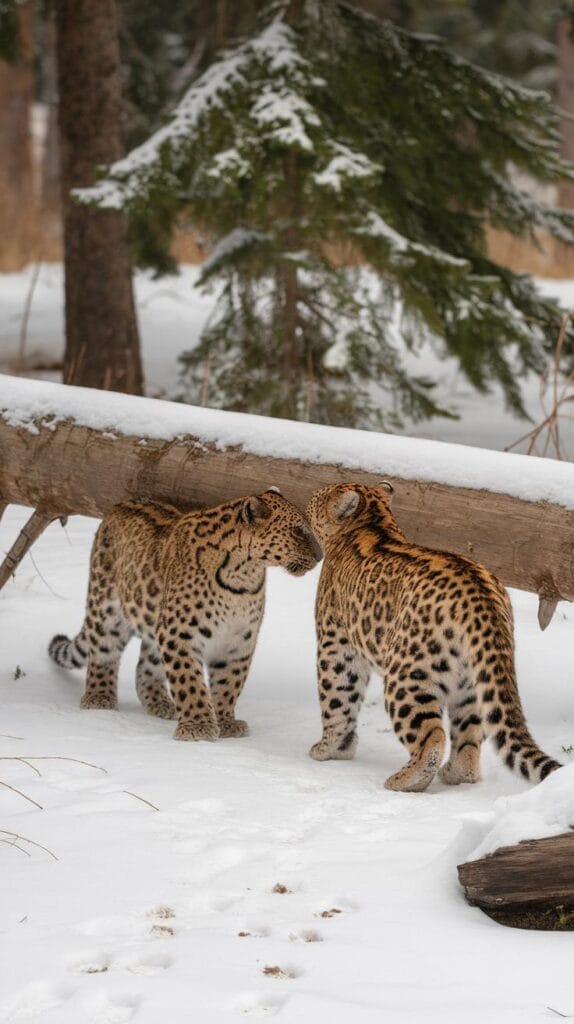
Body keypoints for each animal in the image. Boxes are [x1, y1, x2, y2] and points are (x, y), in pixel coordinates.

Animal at [49, 488, 321, 741]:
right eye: (298, 531)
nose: (320, 556)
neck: (244, 574)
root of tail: (117, 506)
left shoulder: (239, 640)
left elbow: (228, 684)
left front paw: (225, 722)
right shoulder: (180, 633)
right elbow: (189, 682)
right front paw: (198, 727)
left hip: (155, 623)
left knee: (146, 666)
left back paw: (159, 703)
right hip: (106, 607)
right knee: (103, 651)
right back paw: (99, 698)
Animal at [306, 481, 561, 792]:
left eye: (317, 497)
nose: (307, 499)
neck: (373, 522)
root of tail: (478, 594)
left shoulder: (336, 643)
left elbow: (337, 698)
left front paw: (330, 749)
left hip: (407, 675)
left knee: (432, 737)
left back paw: (404, 780)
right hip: (473, 682)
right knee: (468, 737)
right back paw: (455, 774)